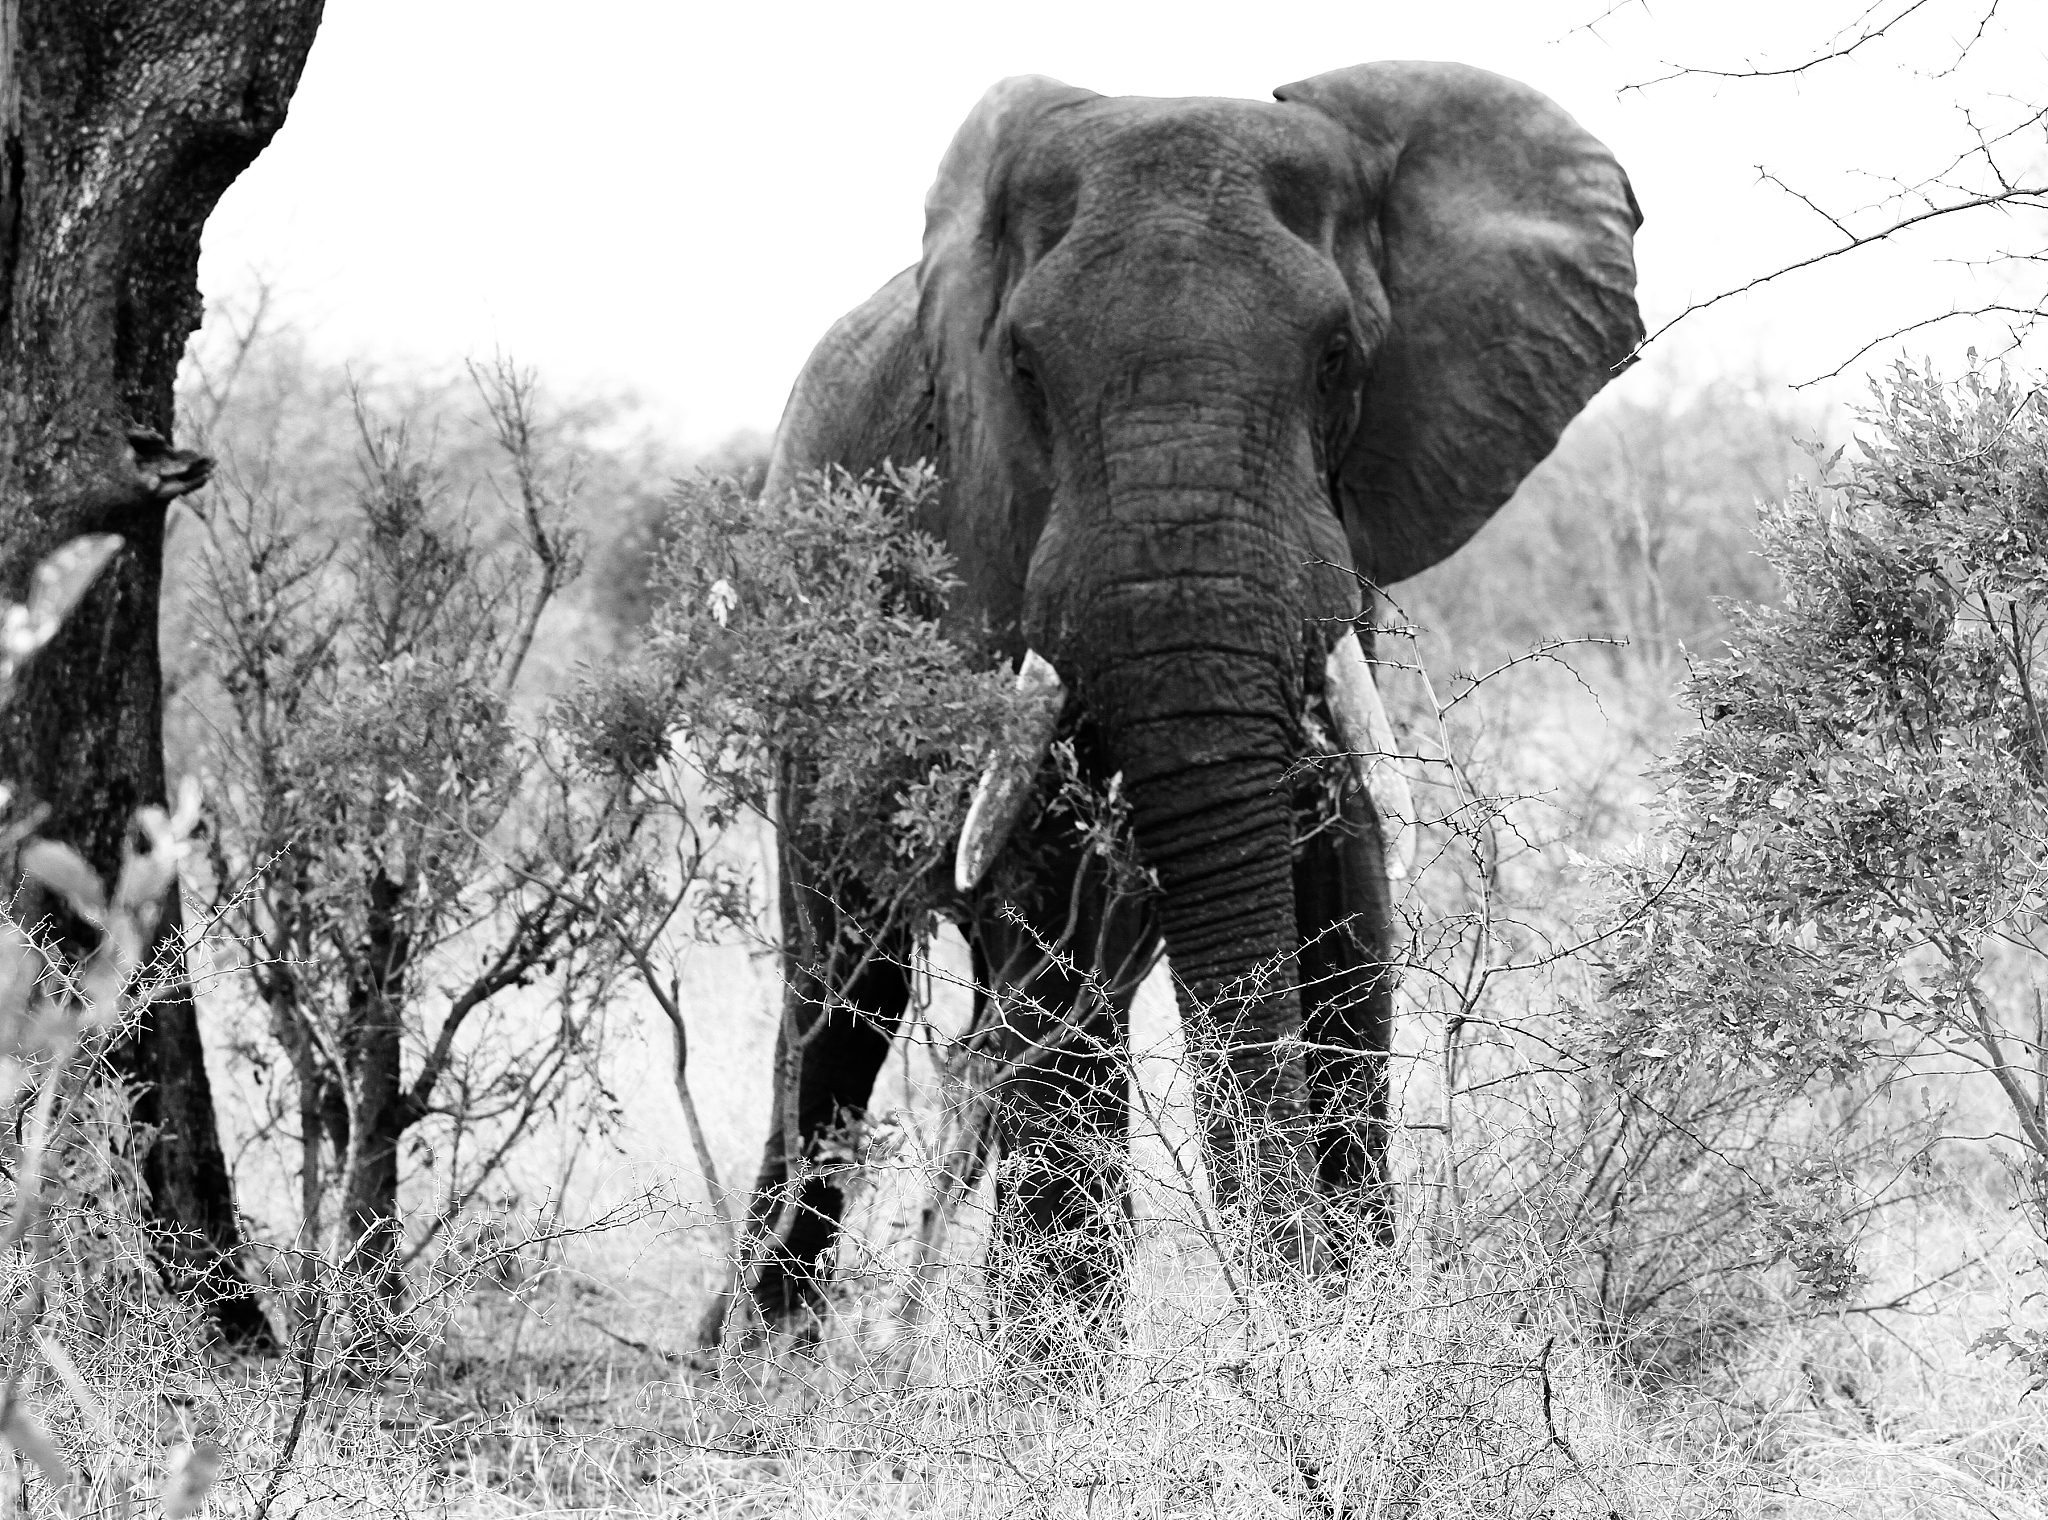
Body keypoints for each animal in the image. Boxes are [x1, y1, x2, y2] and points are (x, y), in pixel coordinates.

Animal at [717, 60, 1641, 1347]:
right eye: (1020, 367)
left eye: (1337, 357)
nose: (1286, 1315)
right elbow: (1053, 928)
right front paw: (1060, 1380)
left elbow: (1343, 907)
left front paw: (1347, 1334)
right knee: (842, 994)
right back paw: (761, 1355)